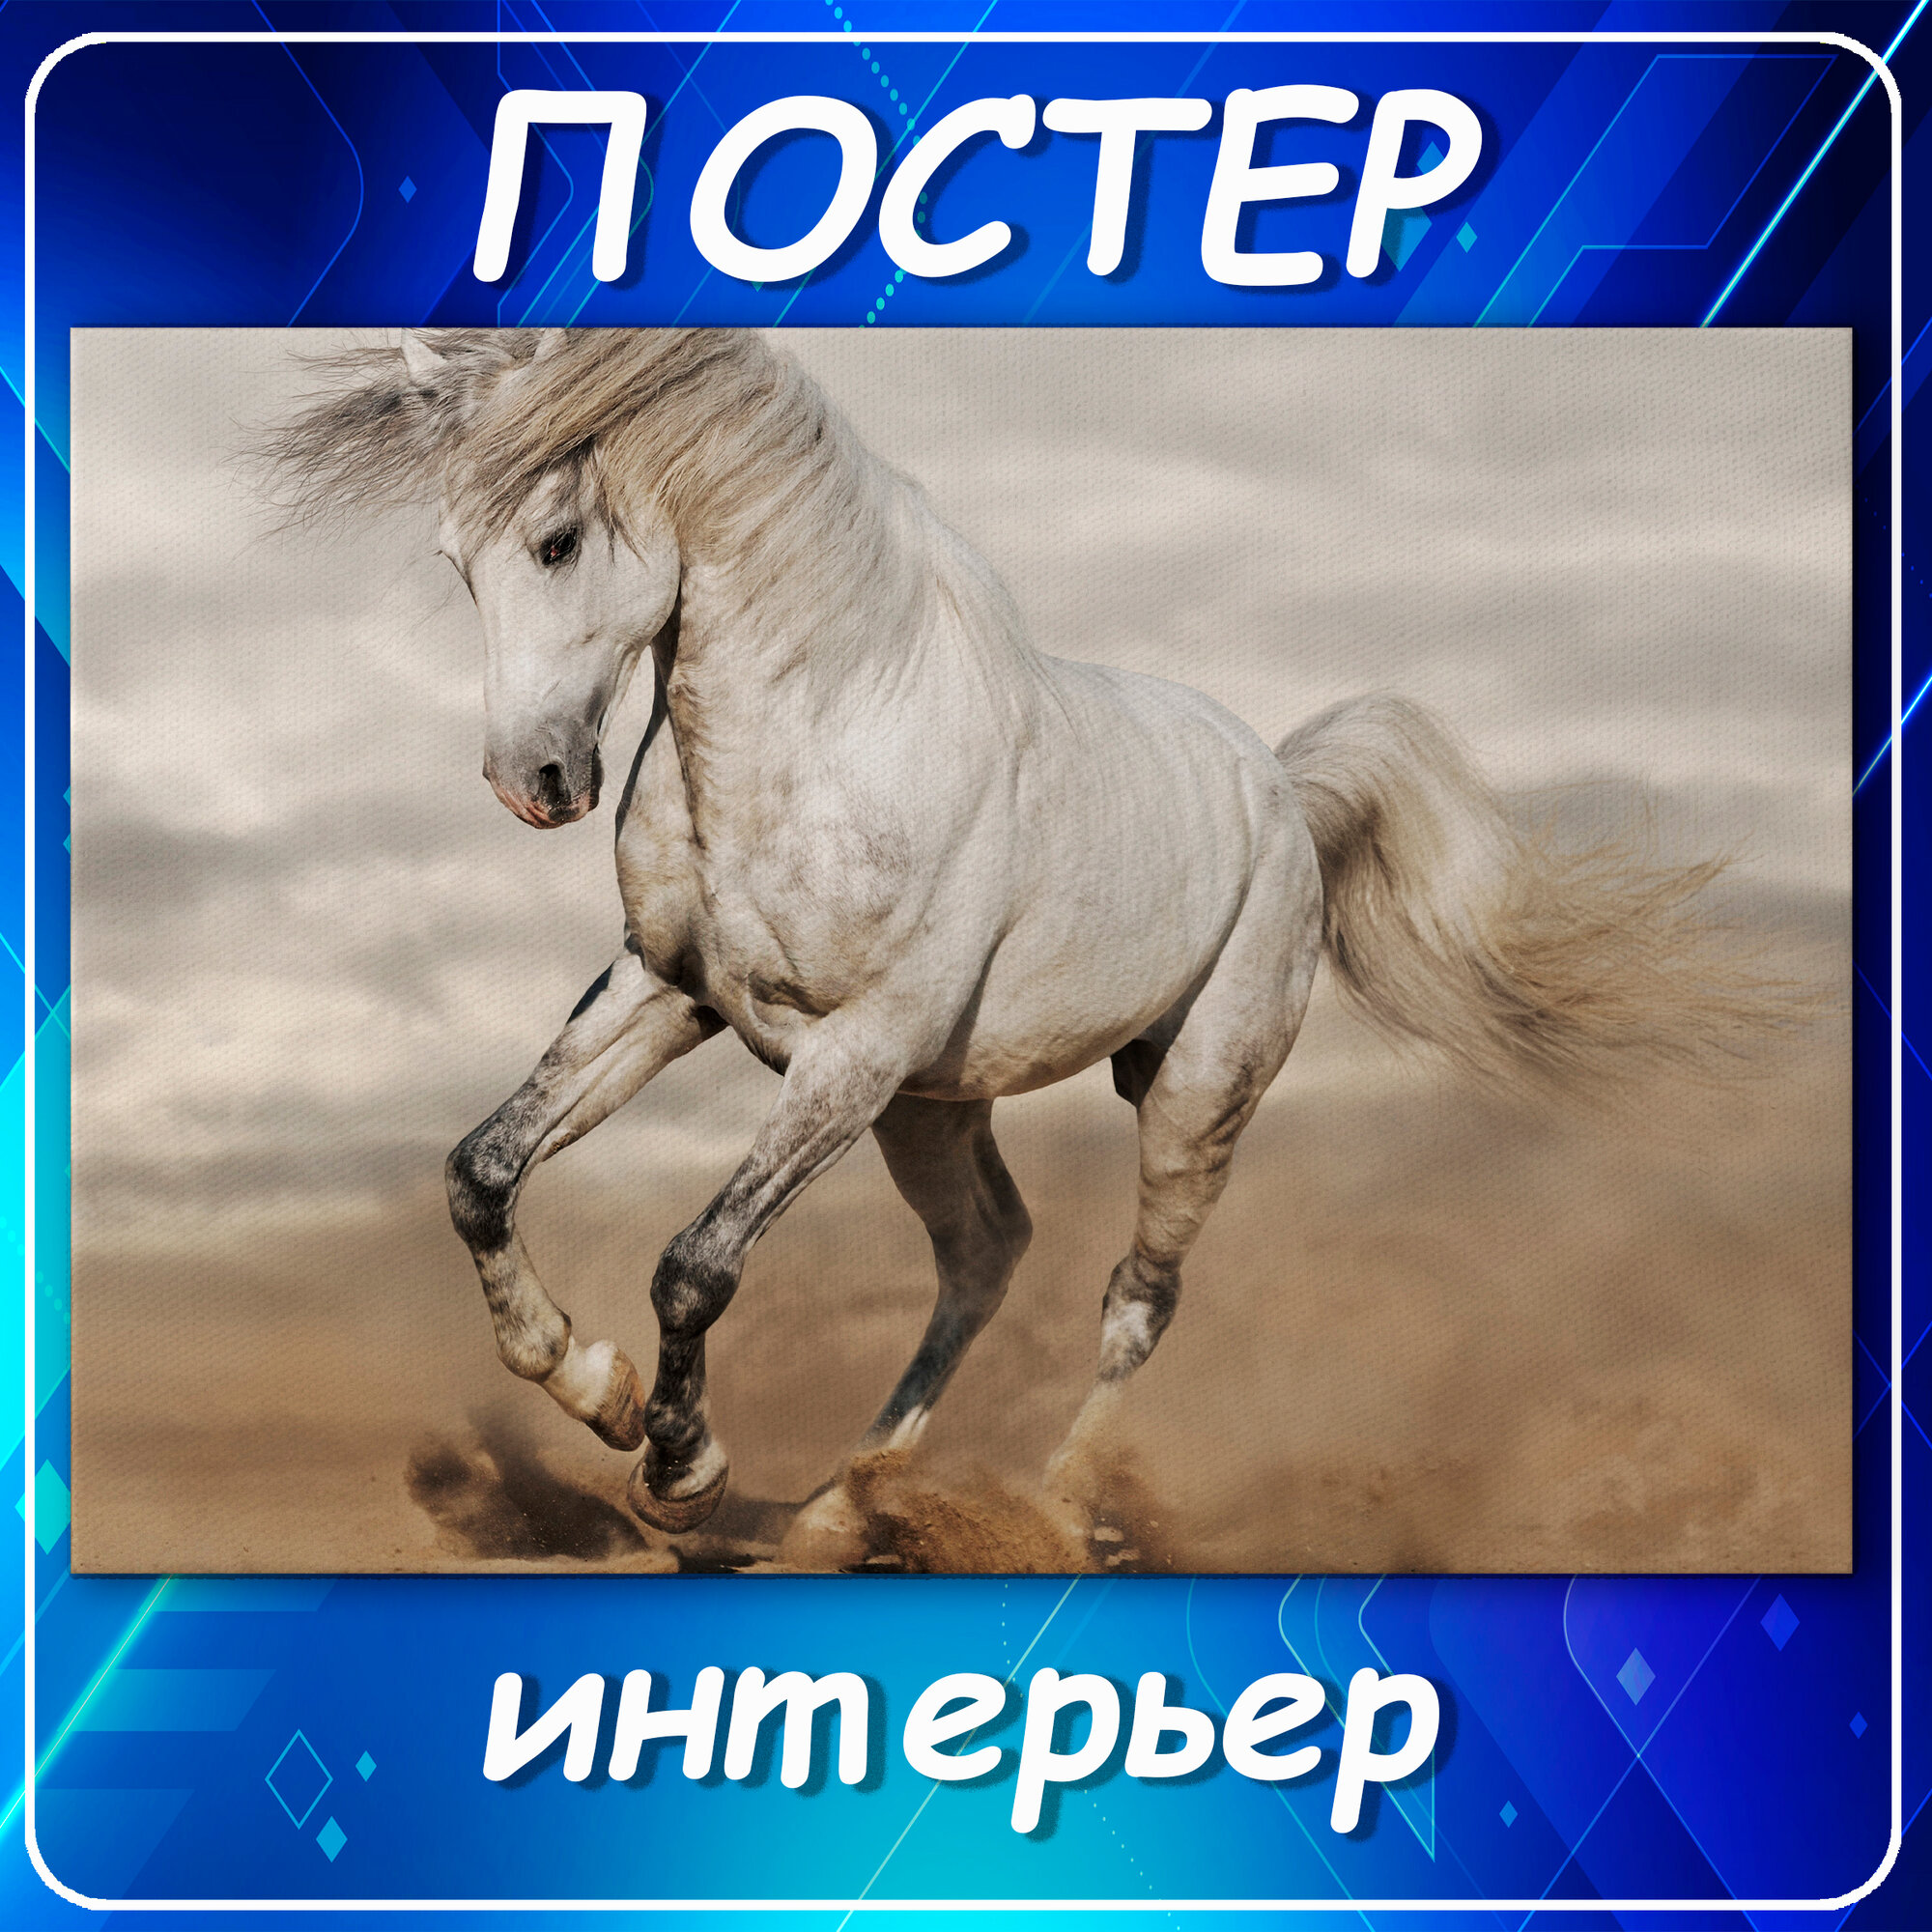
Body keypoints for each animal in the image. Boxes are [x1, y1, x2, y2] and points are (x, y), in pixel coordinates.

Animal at [268, 326, 1763, 1566]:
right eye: (455, 561)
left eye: (559, 537)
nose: (532, 782)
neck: (816, 736)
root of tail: (1281, 790)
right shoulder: (670, 993)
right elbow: (482, 1171)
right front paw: (590, 1383)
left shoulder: (852, 1054)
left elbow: (696, 1263)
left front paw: (680, 1468)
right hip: (935, 1109)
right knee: (988, 1252)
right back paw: (843, 1508)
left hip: (1188, 1095)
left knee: (1134, 1299)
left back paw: (1049, 1510)